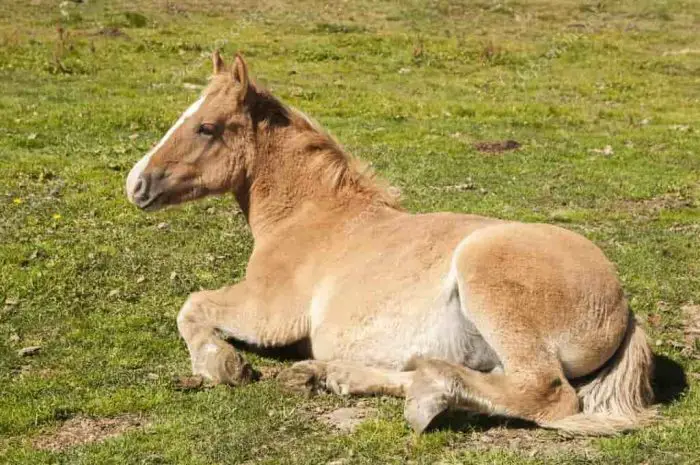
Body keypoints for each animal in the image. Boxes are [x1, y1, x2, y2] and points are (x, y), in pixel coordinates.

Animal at [125, 51, 655, 435]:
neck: (310, 218)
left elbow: (192, 304)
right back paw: (335, 375)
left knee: (545, 394)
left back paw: (428, 397)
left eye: (206, 127)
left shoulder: (268, 313)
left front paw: (222, 364)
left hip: (490, 281)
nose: (136, 183)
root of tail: (623, 308)